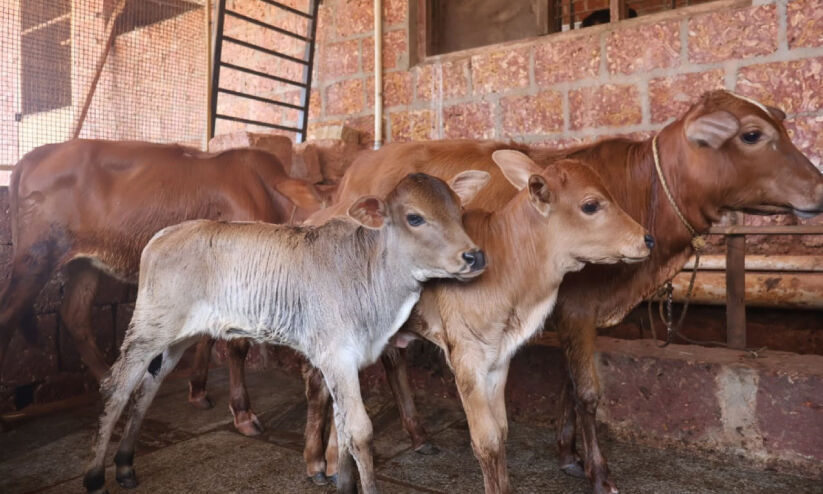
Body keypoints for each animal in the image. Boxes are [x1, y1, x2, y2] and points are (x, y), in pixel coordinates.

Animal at [0, 139, 323, 435]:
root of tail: (31, 156)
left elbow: (207, 334)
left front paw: (198, 391)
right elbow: (236, 345)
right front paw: (243, 413)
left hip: (84, 262)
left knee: (75, 316)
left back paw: (114, 391)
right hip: (37, 255)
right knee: (9, 317)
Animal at [82, 171, 490, 494]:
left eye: (459, 212)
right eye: (415, 218)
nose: (475, 256)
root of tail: (164, 234)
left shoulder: (349, 359)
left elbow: (343, 431)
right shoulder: (336, 354)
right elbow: (359, 430)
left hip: (178, 336)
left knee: (149, 386)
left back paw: (125, 465)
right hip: (150, 324)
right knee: (118, 387)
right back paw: (95, 477)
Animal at [306, 153, 653, 492]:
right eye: (591, 204)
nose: (647, 238)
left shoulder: (499, 358)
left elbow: (501, 432)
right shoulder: (466, 357)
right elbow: (485, 441)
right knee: (318, 386)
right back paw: (319, 465)